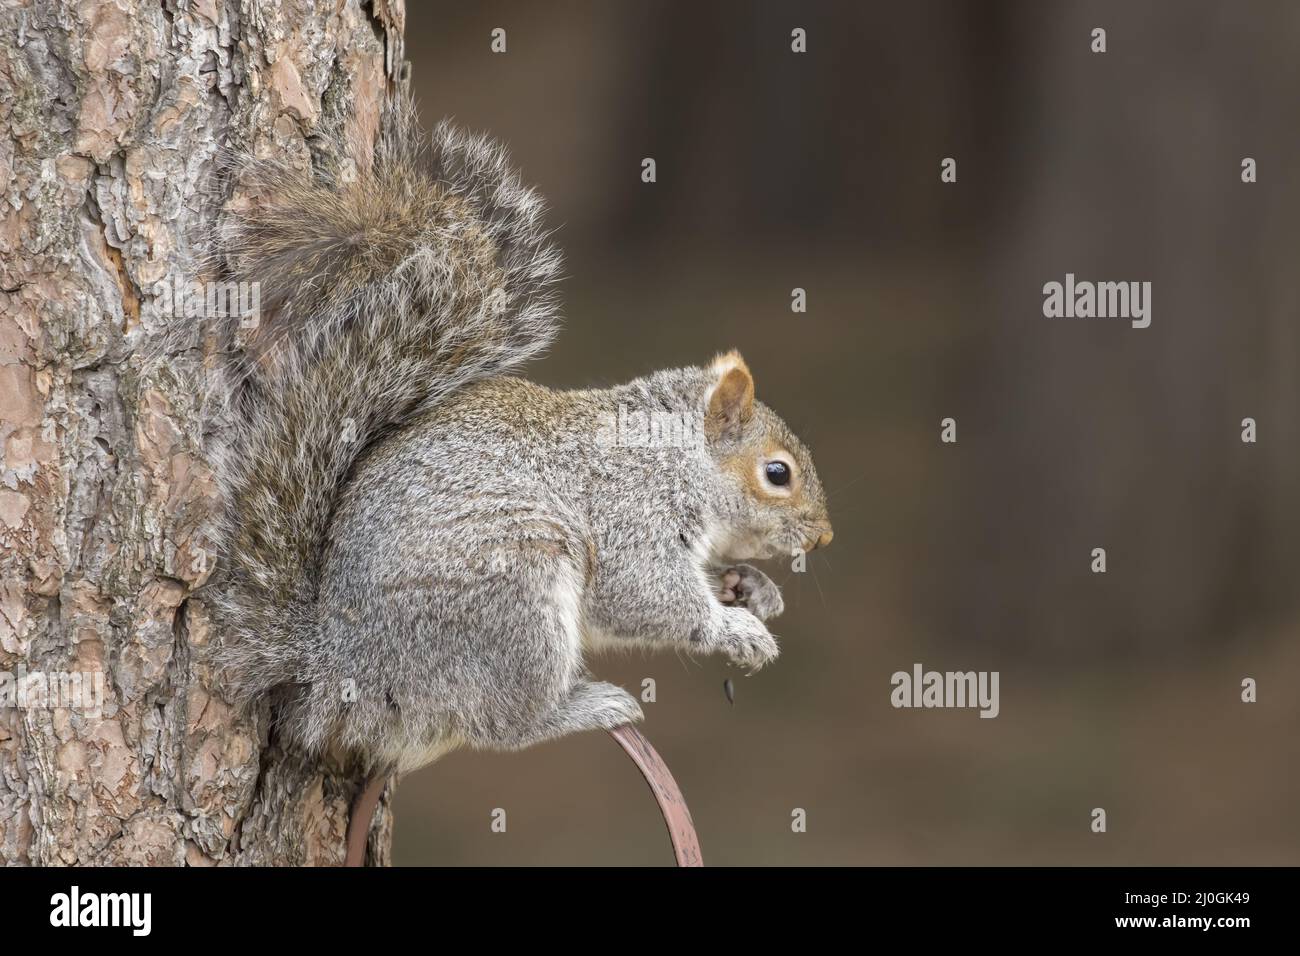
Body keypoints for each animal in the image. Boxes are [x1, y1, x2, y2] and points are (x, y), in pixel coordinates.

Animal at [211, 100, 833, 775]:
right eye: (777, 473)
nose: (823, 537)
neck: (676, 459)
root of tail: (341, 663)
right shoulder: (629, 515)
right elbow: (642, 596)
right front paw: (734, 630)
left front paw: (751, 589)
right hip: (515, 594)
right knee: (504, 726)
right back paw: (584, 708)